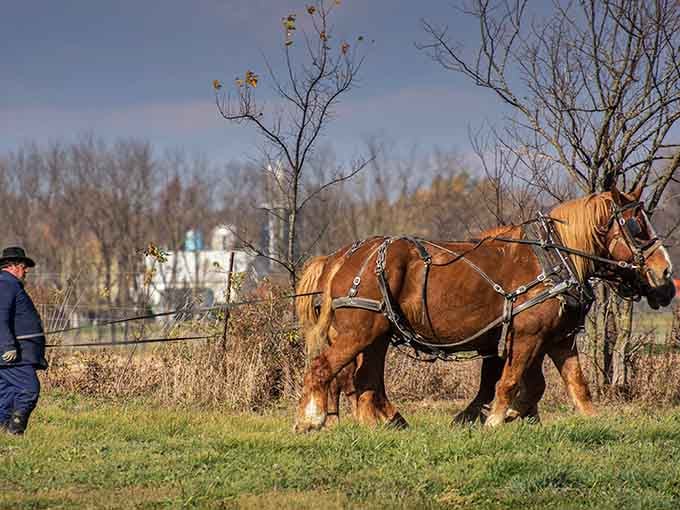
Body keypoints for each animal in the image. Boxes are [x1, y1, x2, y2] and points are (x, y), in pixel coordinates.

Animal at [294, 186, 675, 432]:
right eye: (637, 227)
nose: (665, 272)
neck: (556, 257)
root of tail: (342, 257)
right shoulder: (528, 335)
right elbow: (510, 380)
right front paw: (495, 419)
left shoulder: (558, 339)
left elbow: (573, 384)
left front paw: (589, 420)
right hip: (361, 331)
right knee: (324, 368)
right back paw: (311, 419)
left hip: (377, 334)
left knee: (366, 380)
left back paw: (383, 423)